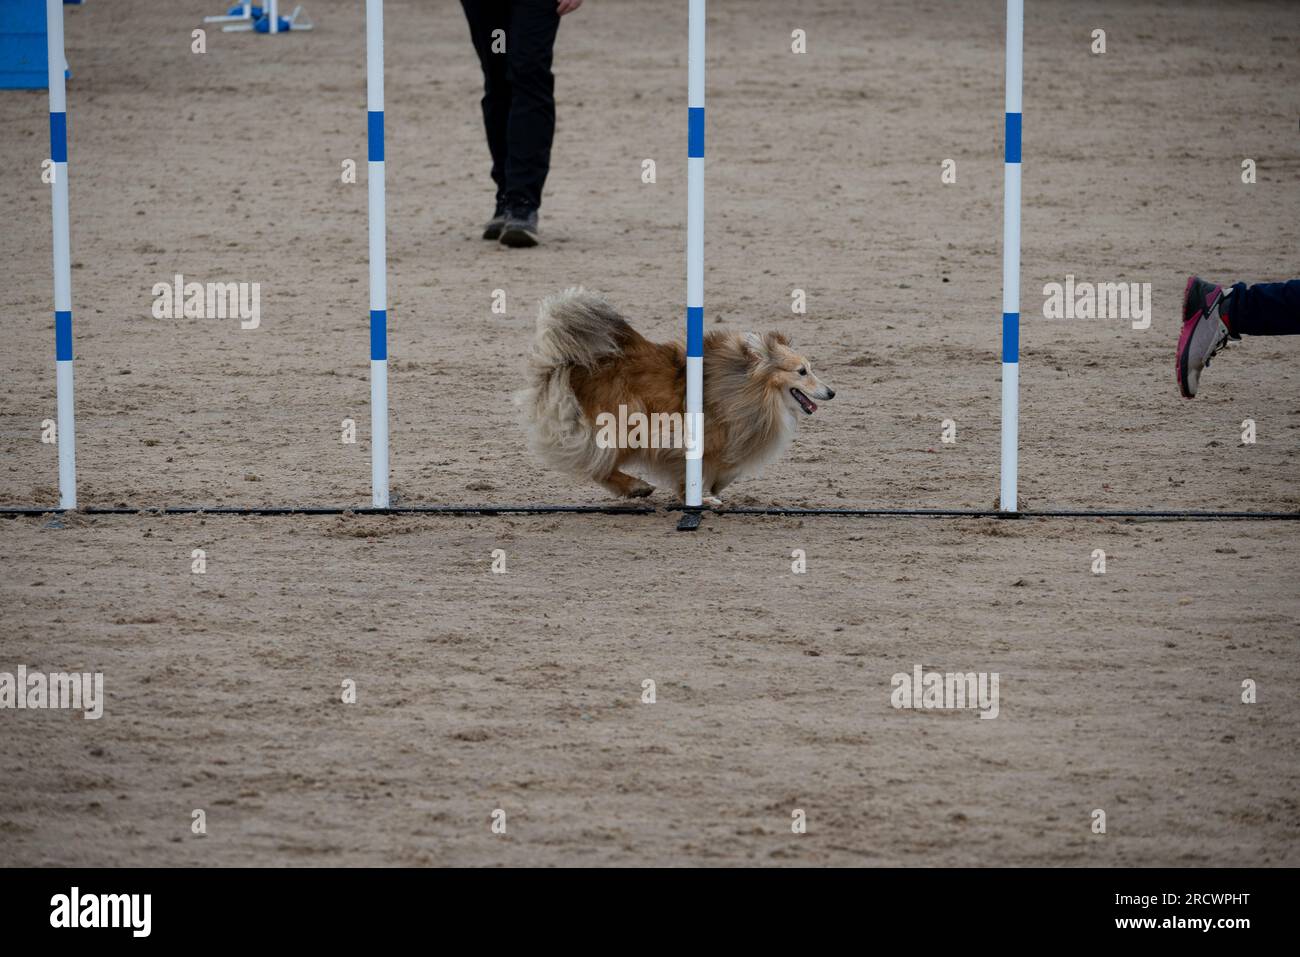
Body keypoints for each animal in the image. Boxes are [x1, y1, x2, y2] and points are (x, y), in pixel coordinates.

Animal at [517, 287, 832, 504]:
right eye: (802, 371)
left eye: (810, 368)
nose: (832, 392)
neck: (747, 385)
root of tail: (570, 363)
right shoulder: (695, 438)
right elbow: (706, 466)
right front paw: (701, 496)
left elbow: (727, 468)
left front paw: (713, 488)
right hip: (627, 422)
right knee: (597, 465)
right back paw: (636, 486)